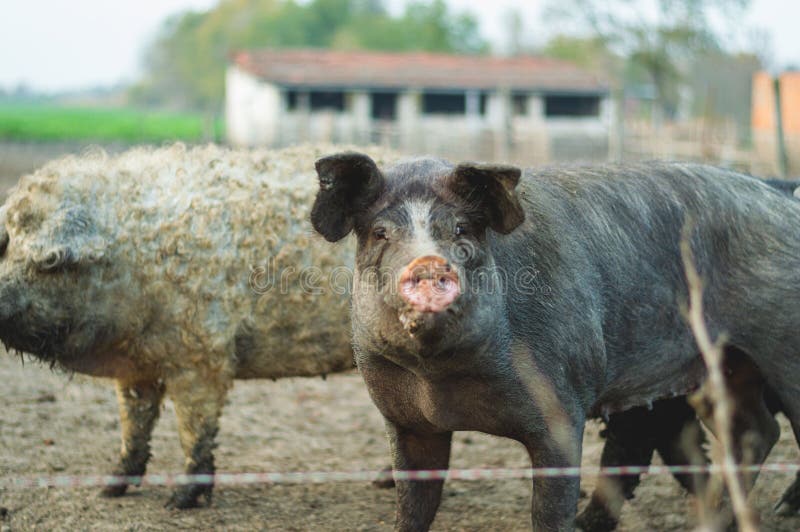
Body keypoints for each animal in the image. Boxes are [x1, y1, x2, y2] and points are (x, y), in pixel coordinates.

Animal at [0, 144, 396, 509]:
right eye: (7, 245)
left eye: (50, 261)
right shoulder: (136, 366)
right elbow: (134, 421)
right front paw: (110, 488)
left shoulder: (202, 353)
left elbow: (194, 426)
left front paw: (179, 501)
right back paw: (383, 481)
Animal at [310, 152, 800, 530]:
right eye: (380, 233)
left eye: (462, 230)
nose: (429, 262)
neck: (440, 376)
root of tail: (781, 201)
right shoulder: (407, 420)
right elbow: (413, 504)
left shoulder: (563, 409)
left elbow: (550, 507)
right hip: (727, 366)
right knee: (757, 429)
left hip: (783, 347)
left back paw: (778, 509)